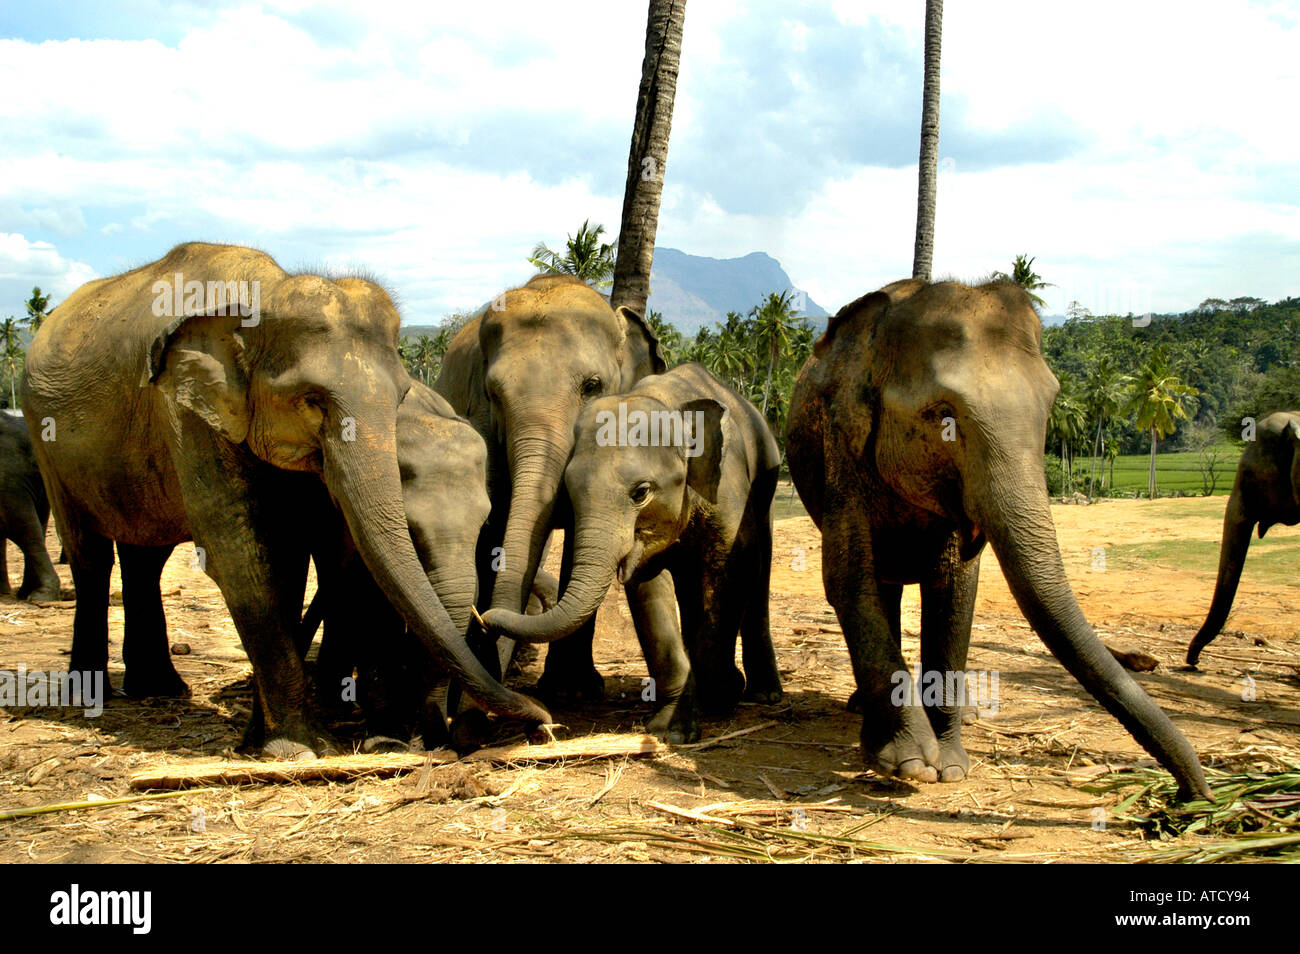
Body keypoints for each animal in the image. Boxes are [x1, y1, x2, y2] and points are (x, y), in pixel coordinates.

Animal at [21, 242, 548, 756]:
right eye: (311, 400)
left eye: (401, 396)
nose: (542, 720)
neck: (262, 292)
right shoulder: (185, 412)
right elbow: (243, 553)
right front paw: (292, 749)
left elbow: (291, 557)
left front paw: (274, 740)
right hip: (44, 436)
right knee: (89, 554)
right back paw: (90, 694)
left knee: (144, 556)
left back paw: (161, 688)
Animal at [435, 274, 665, 701]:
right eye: (493, 394)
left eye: (592, 386)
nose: (485, 620)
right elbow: (495, 527)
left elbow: (580, 534)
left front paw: (573, 690)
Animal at [483, 363, 784, 741]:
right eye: (568, 491)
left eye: (641, 492)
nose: (483, 618)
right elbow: (649, 595)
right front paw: (672, 731)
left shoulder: (728, 488)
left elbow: (733, 566)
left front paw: (722, 693)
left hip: (766, 478)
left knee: (759, 574)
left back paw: (765, 694)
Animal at [786, 278, 1211, 801]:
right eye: (942, 413)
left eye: (1049, 409)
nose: (1192, 795)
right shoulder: (841, 453)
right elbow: (849, 579)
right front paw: (912, 763)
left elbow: (956, 590)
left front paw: (950, 766)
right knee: (881, 587)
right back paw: (862, 708)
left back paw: (961, 713)